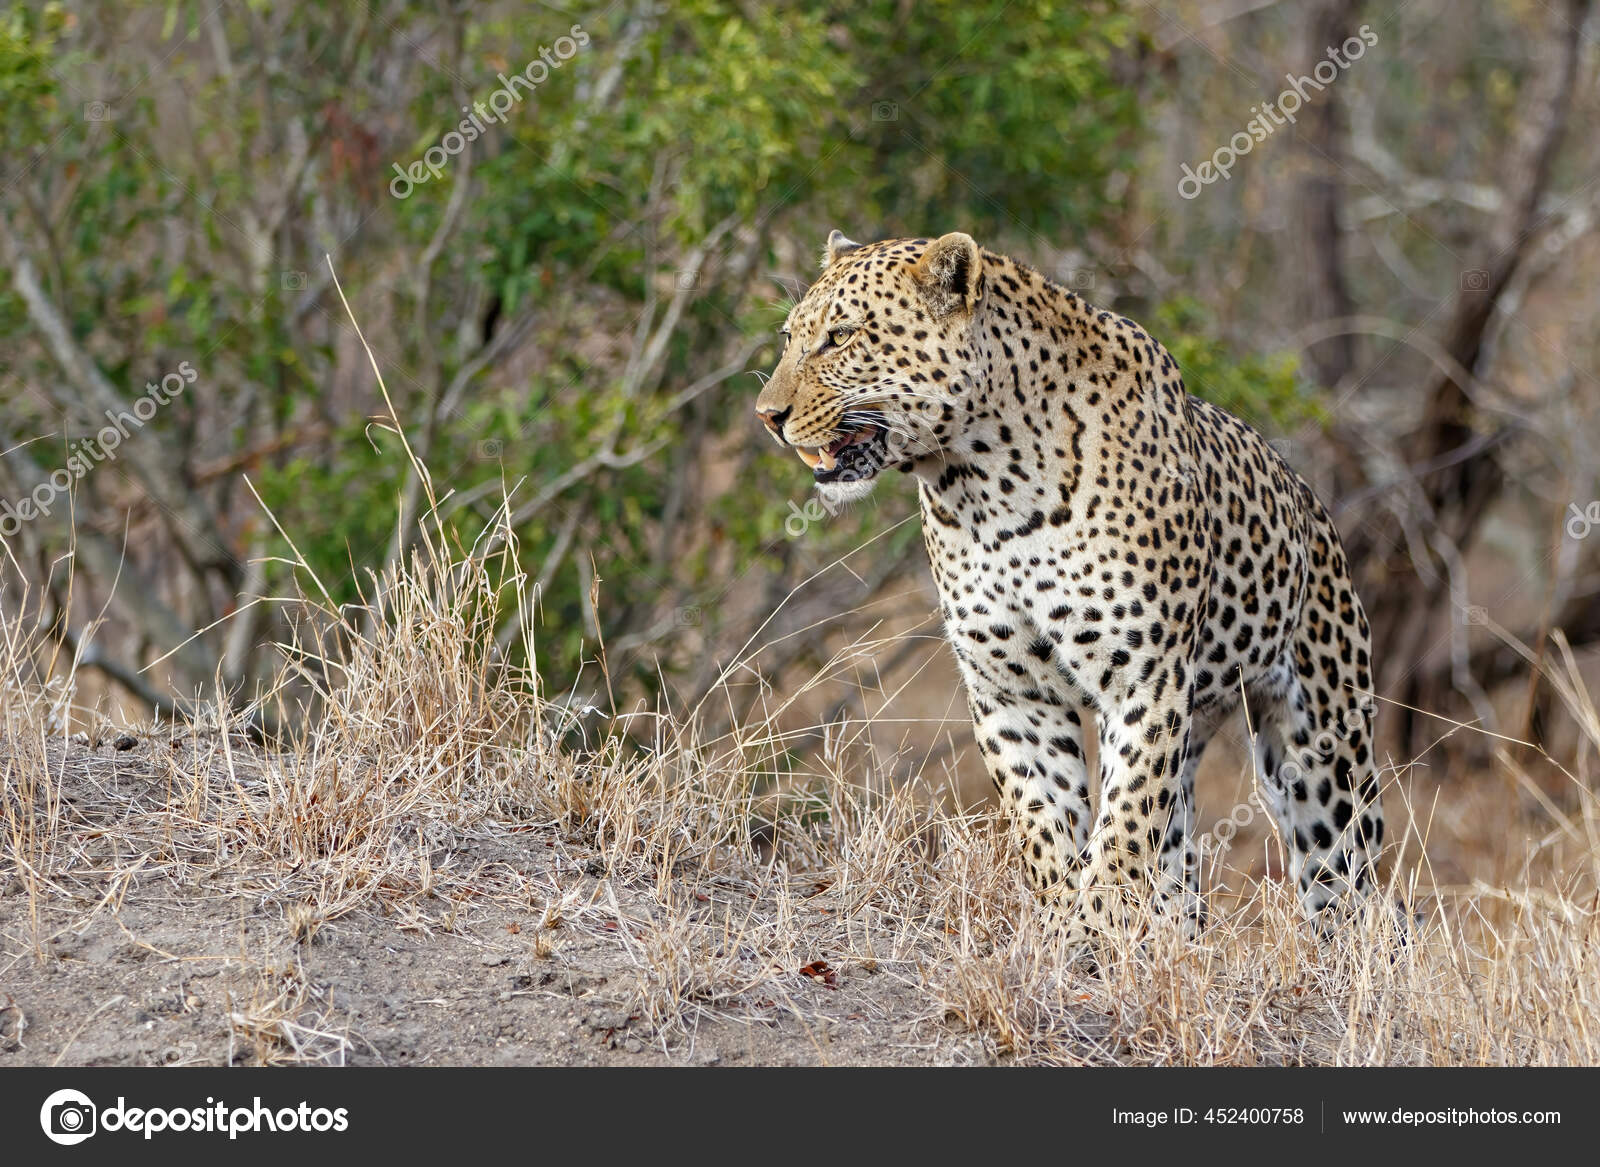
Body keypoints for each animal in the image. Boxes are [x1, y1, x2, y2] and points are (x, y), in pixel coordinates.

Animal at [754, 229, 1385, 947]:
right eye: (789, 337)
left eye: (841, 337)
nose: (767, 415)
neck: (981, 485)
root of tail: (1313, 504)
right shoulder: (1009, 689)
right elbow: (1045, 821)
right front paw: (1065, 926)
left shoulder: (1143, 679)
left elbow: (1125, 826)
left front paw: (1098, 921)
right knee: (1180, 866)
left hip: (1324, 753)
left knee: (1353, 889)